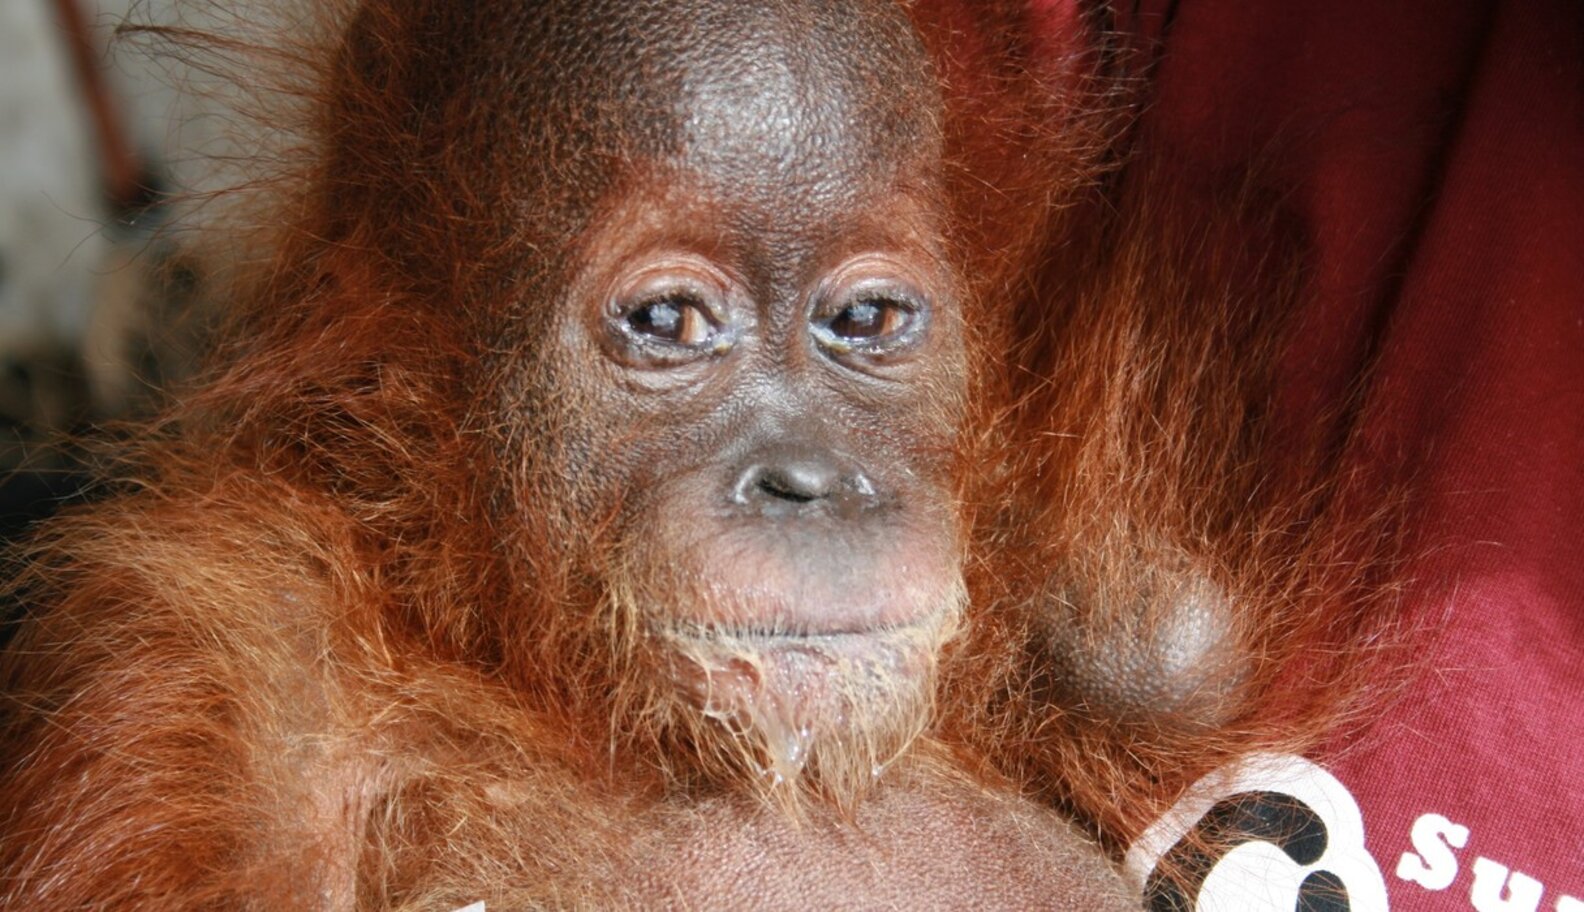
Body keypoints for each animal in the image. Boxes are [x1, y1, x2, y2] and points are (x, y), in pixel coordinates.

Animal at [0, 0, 1406, 908]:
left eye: (867, 322)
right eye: (670, 322)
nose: (810, 484)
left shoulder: (1144, 638)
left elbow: (1154, 639)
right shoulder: (207, 671)